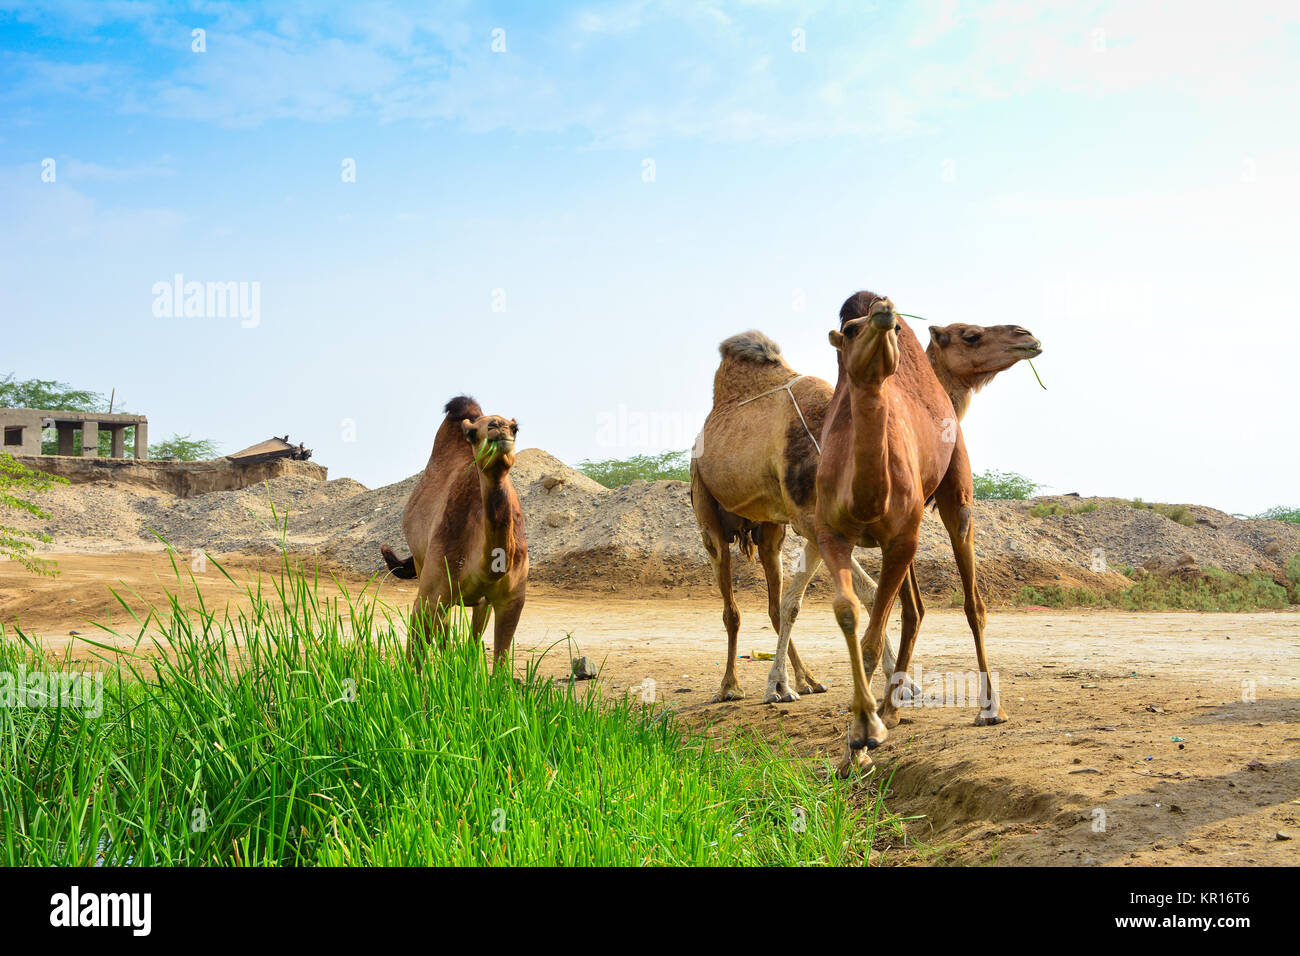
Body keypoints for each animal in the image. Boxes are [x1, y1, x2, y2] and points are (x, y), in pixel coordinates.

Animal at [381, 395, 528, 665]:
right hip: (423, 565)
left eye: (515, 428)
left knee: (470, 633)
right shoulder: (430, 594)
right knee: (443, 629)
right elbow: (415, 657)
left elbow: (500, 664)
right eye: (471, 433)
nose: (498, 427)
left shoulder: (512, 599)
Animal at [691, 317, 1040, 704]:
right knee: (729, 600)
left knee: (774, 597)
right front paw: (893, 681)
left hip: (770, 527)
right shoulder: (815, 522)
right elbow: (870, 592)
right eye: (971, 336)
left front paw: (899, 681)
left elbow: (808, 600)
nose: (1027, 336)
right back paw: (730, 686)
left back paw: (804, 680)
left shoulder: (815, 526)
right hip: (705, 504)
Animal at [815, 292, 1004, 777]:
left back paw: (989, 709)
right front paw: (856, 744)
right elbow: (849, 614)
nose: (885, 309)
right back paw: (892, 709)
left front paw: (864, 736)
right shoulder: (831, 535)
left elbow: (871, 637)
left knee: (972, 602)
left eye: (898, 328)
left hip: (955, 493)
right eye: (850, 330)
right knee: (915, 609)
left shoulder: (902, 538)